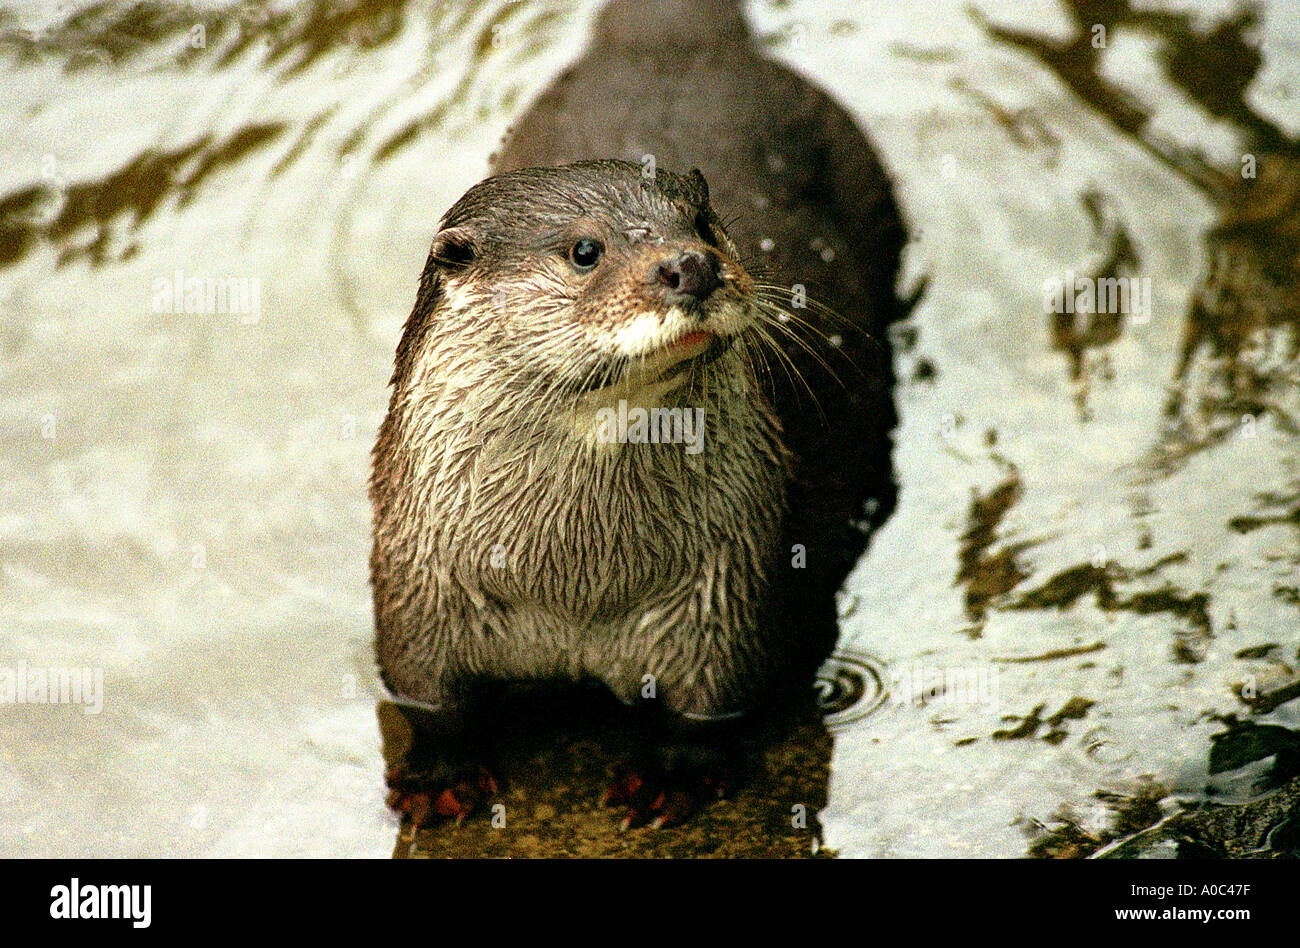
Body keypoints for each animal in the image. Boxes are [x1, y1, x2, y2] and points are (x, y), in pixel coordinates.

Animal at [371, 0, 906, 829]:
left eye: (706, 222)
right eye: (585, 250)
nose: (691, 265)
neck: (573, 581)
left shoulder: (729, 594)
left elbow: (705, 711)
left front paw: (670, 777)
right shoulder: (415, 591)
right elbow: (431, 704)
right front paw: (439, 780)